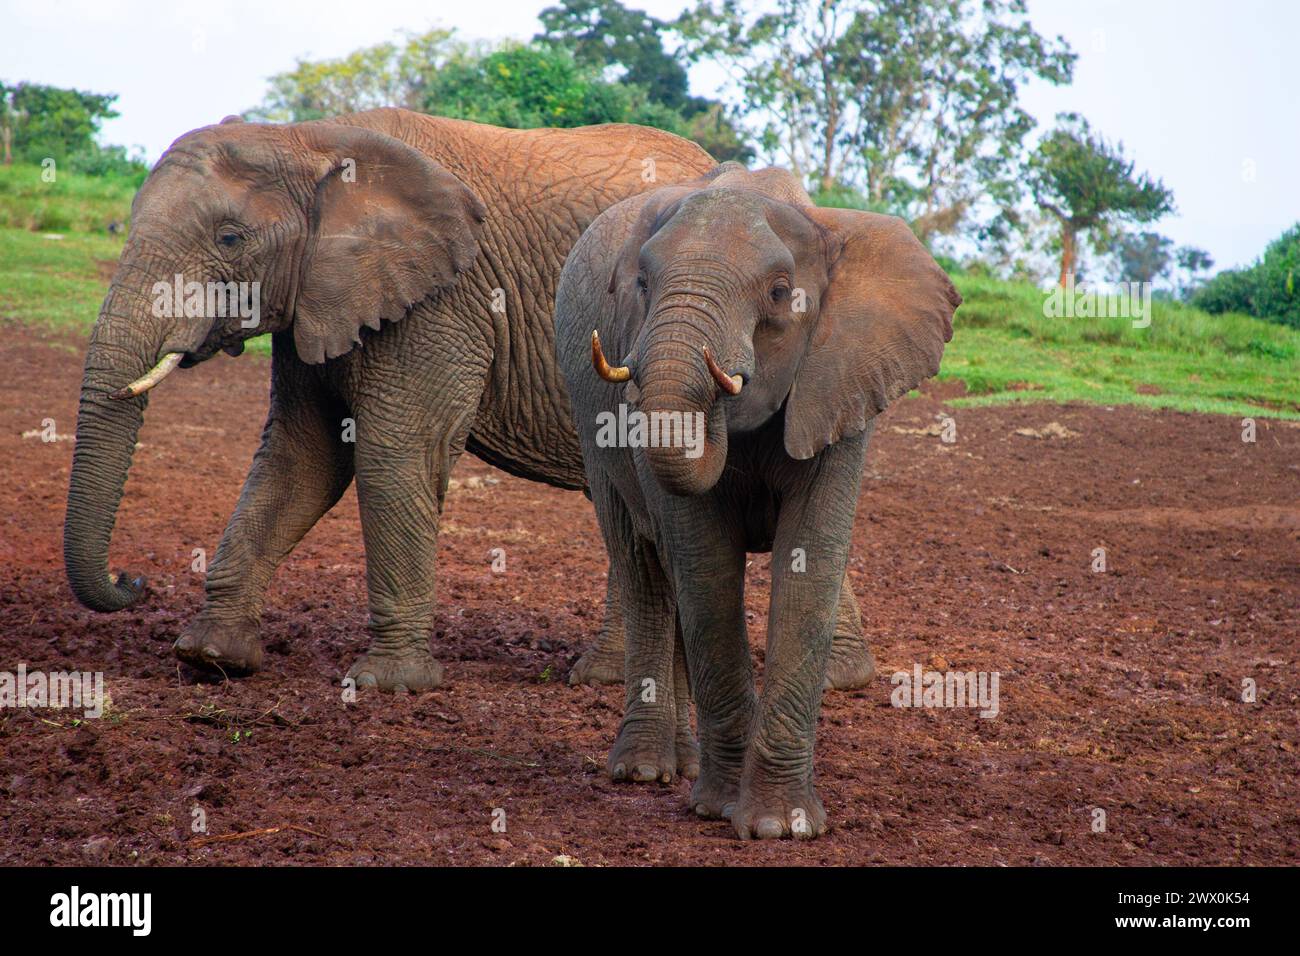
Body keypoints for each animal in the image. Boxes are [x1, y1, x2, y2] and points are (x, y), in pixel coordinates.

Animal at [63, 106, 879, 694]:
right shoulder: (325, 299)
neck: (310, 138)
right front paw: (211, 659)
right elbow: (302, 459)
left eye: (230, 240)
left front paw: (389, 686)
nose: (133, 581)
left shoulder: (441, 298)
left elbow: (393, 451)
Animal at [554, 164, 960, 838]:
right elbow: (705, 565)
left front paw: (780, 826)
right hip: (588, 417)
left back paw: (683, 766)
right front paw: (720, 810)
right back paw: (645, 771)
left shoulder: (840, 378)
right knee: (643, 562)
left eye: (778, 292)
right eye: (641, 283)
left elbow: (810, 560)